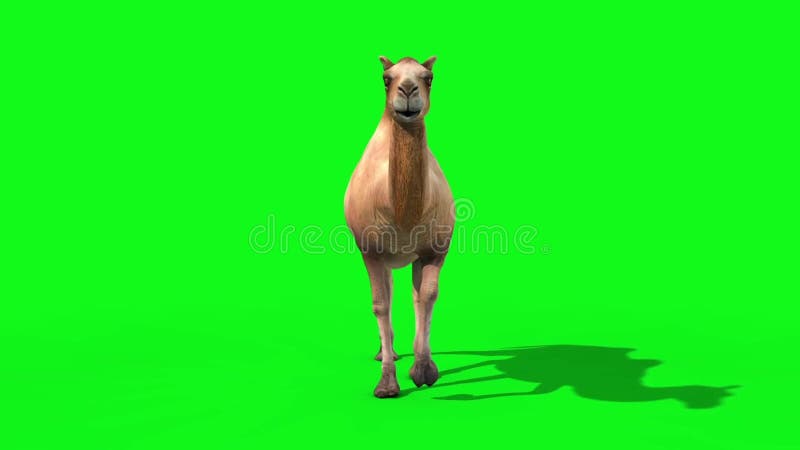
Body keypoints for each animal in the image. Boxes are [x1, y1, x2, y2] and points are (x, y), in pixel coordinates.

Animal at [344, 56, 455, 398]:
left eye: (429, 77)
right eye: (385, 78)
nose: (407, 90)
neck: (404, 216)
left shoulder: (435, 249)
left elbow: (426, 296)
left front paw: (424, 370)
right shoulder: (371, 250)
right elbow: (380, 304)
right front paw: (387, 385)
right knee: (388, 294)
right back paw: (386, 352)